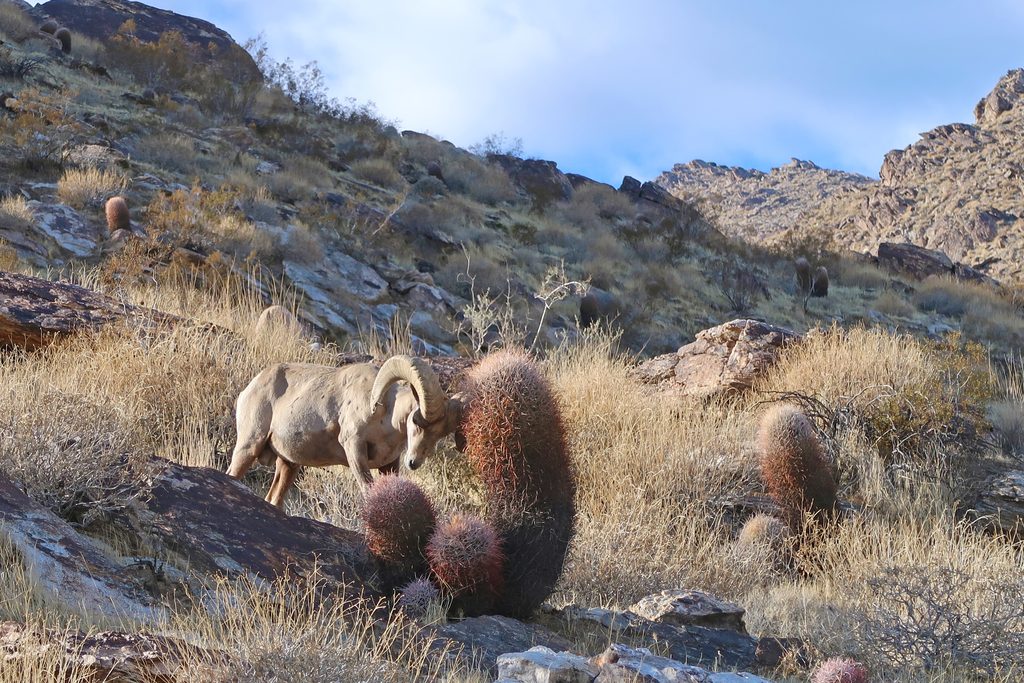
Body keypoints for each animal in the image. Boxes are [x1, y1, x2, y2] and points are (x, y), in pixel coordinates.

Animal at [227, 355, 466, 509]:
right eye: (416, 421)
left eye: (439, 435)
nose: (414, 462)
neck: (385, 413)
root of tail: (250, 388)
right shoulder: (355, 449)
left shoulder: (389, 464)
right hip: (249, 446)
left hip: (288, 465)